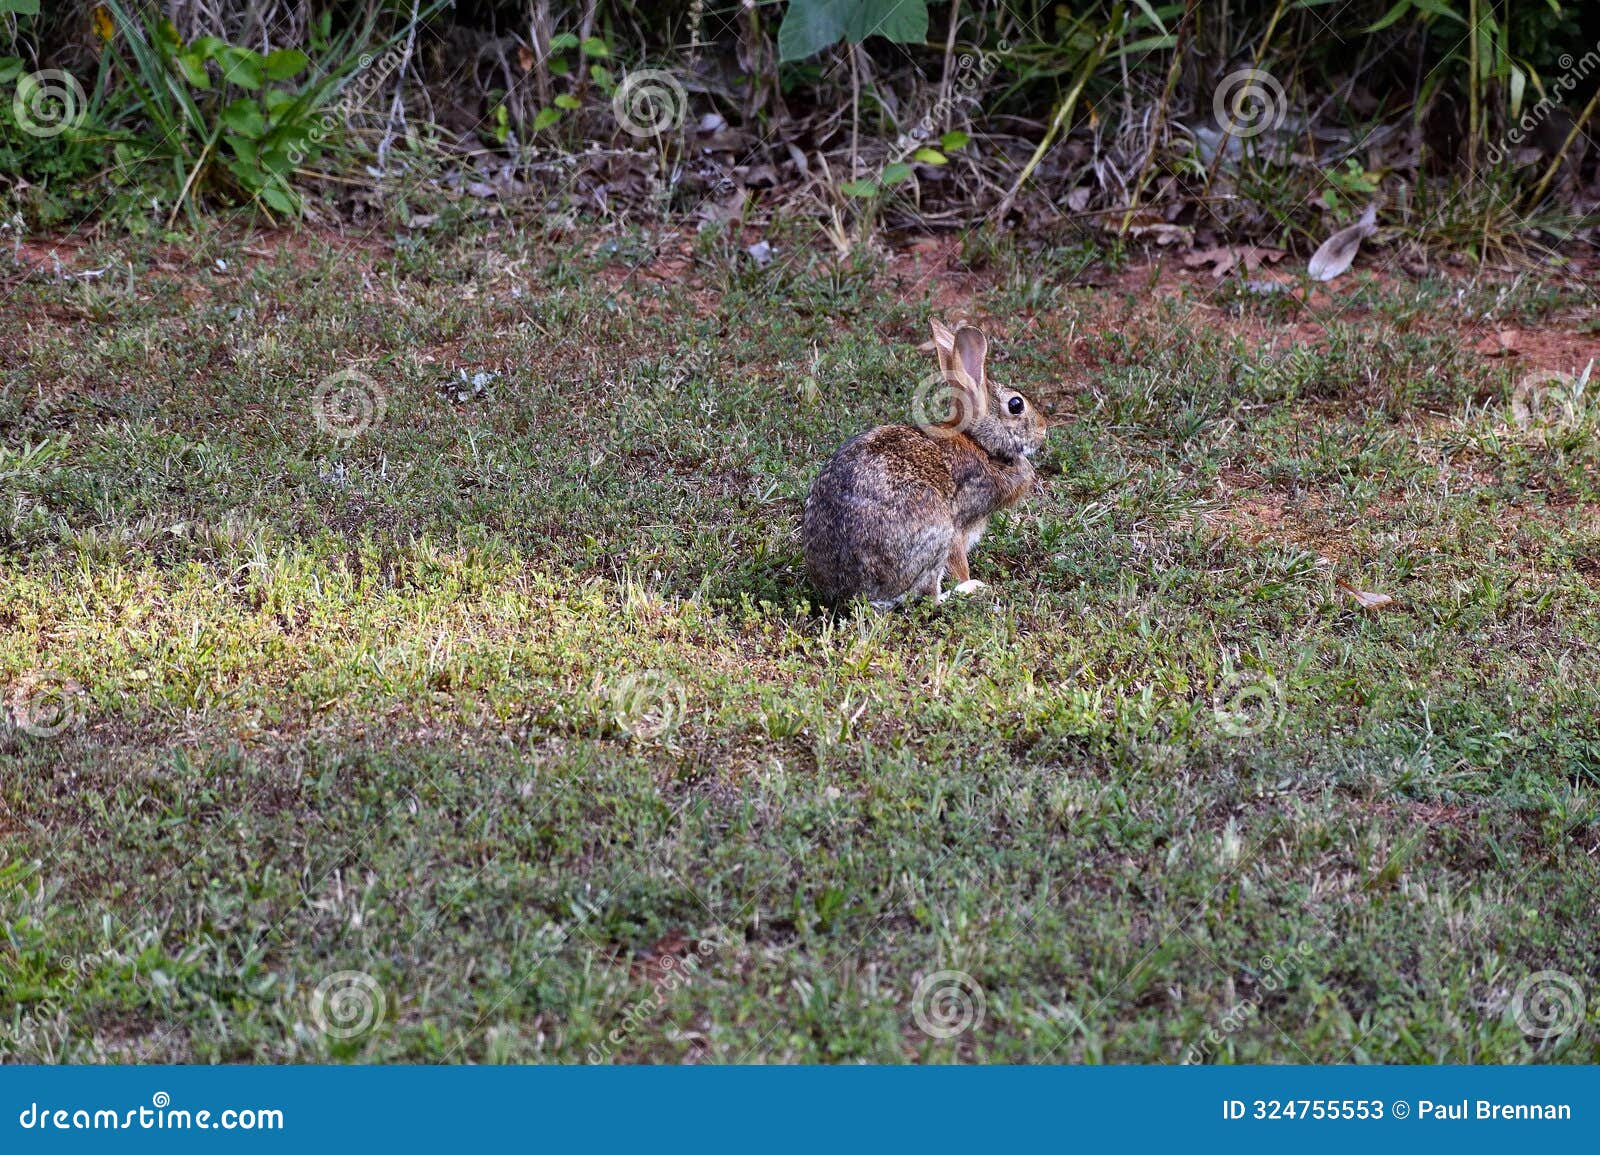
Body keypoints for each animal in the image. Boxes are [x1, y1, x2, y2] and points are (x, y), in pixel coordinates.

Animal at [803, 319, 1048, 607]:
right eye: (1016, 404)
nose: (1044, 429)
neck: (980, 443)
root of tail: (848, 593)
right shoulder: (959, 525)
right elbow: (959, 562)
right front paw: (968, 581)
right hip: (934, 533)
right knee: (929, 597)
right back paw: (969, 589)